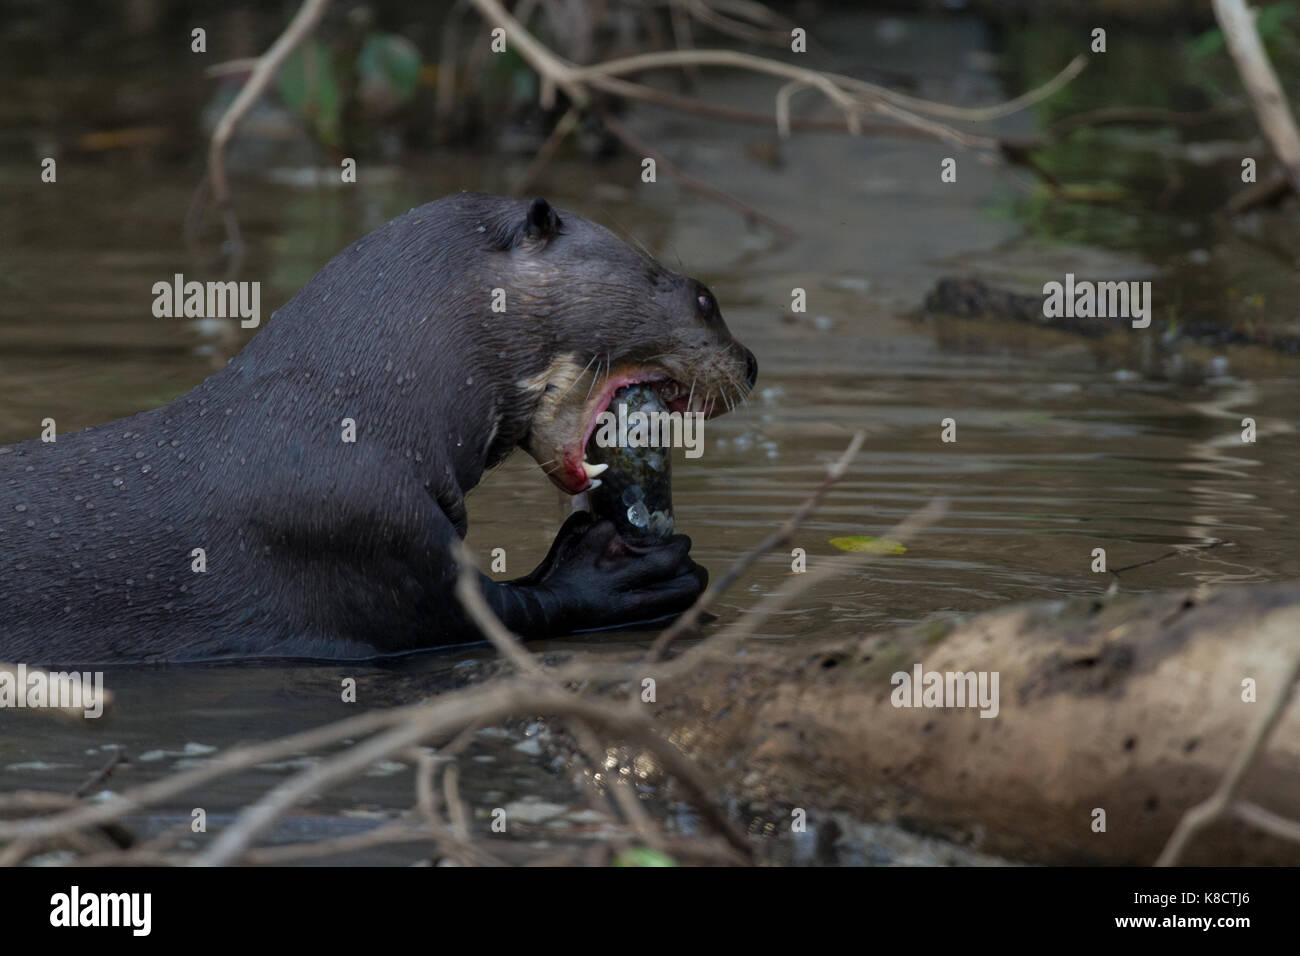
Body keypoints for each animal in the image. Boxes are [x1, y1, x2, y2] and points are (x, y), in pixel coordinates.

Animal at [0, 194, 757, 664]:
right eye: (703, 298)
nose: (750, 363)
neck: (350, 411)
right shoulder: (366, 529)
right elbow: (501, 610)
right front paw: (627, 573)